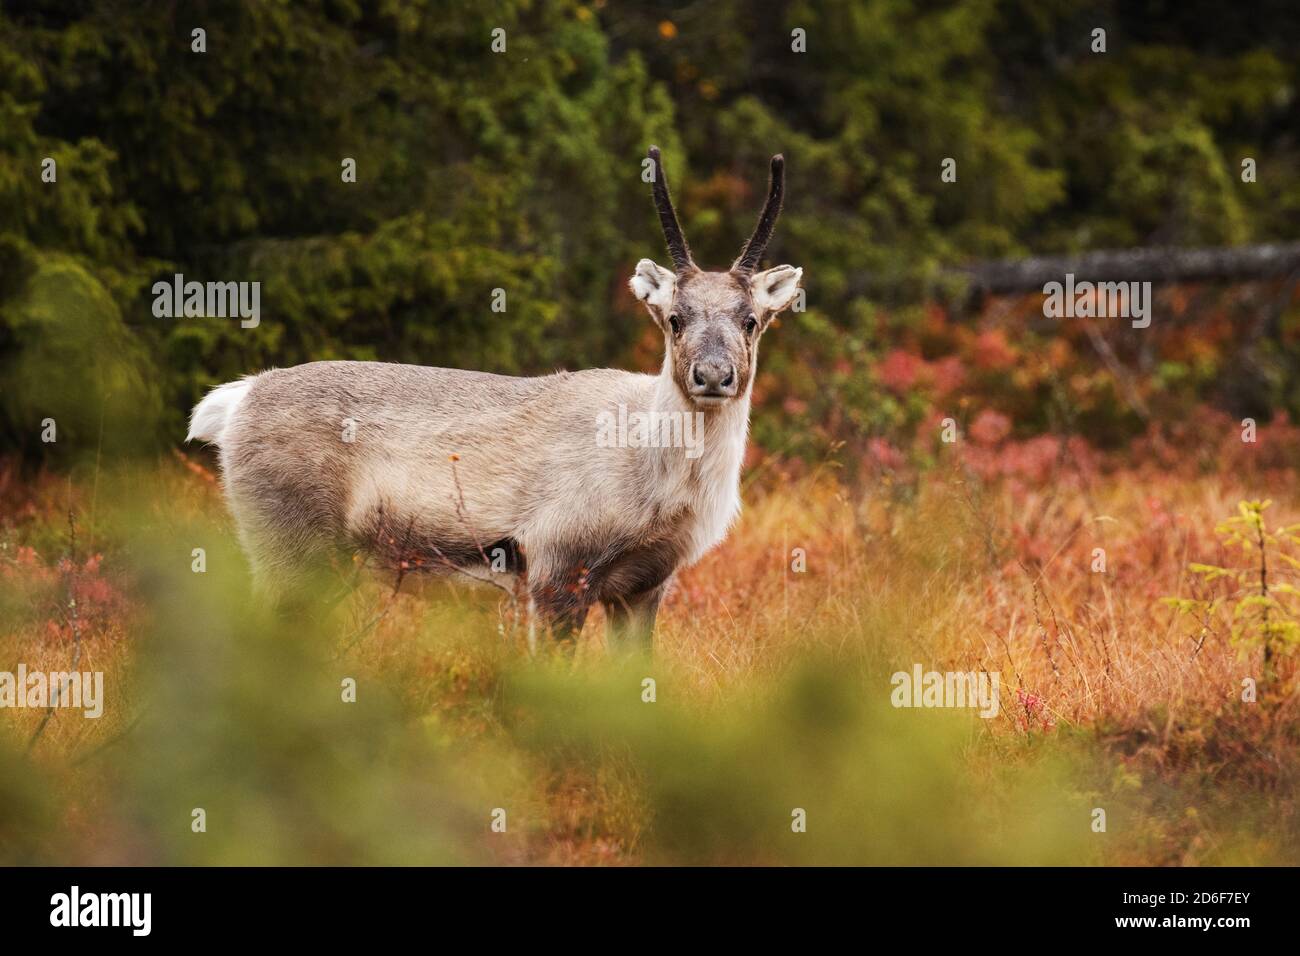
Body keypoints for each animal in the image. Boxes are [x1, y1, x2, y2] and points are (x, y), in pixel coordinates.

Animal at [187, 146, 802, 653]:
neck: (659, 476)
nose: (713, 375)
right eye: (674, 319)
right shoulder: (557, 569)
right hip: (291, 550)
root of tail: (236, 401)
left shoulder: (644, 586)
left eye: (751, 321)